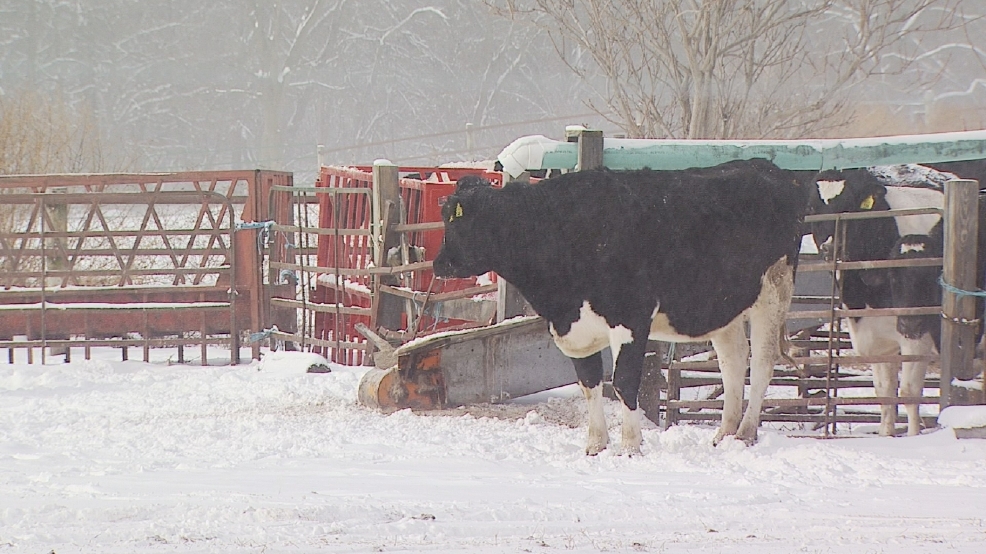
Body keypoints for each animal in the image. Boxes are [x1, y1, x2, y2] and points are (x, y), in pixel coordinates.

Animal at [433, 159, 808, 454]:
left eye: (456, 220)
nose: (439, 264)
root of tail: (770, 169)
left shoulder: (630, 318)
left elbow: (624, 381)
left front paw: (630, 446)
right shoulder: (577, 328)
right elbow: (589, 383)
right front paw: (595, 445)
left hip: (774, 290)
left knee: (762, 362)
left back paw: (745, 433)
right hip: (723, 304)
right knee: (733, 362)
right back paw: (724, 433)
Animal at [807, 166, 948, 436]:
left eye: (850, 205)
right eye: (813, 209)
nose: (829, 247)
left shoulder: (916, 335)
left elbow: (909, 393)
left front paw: (913, 437)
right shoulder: (880, 341)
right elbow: (884, 393)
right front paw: (885, 435)